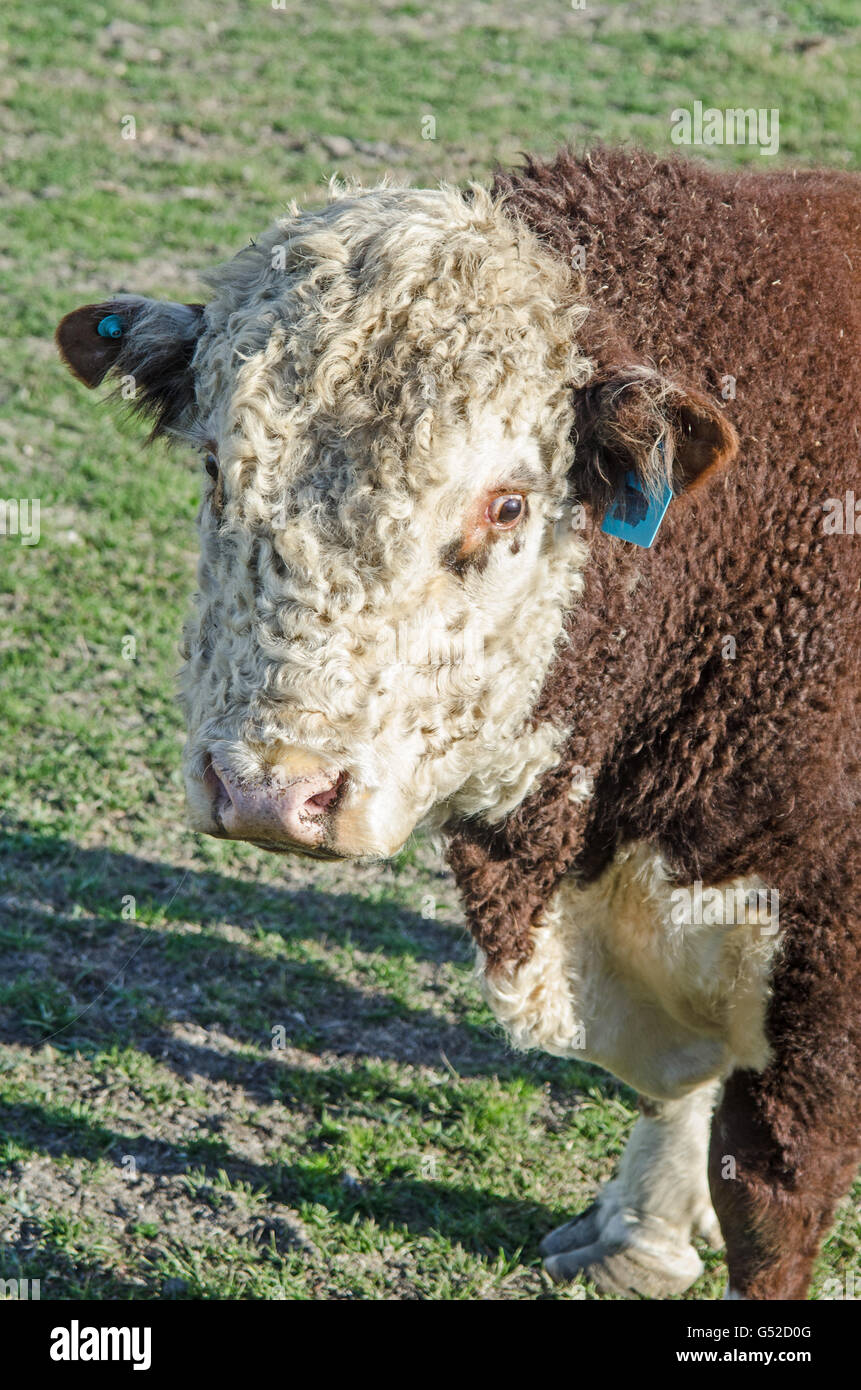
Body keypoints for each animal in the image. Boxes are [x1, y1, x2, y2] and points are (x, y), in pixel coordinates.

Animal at [56, 148, 860, 1299]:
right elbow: (675, 1090)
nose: (268, 790)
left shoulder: (824, 988)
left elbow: (771, 1202)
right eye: (214, 467)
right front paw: (640, 1234)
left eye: (509, 504)